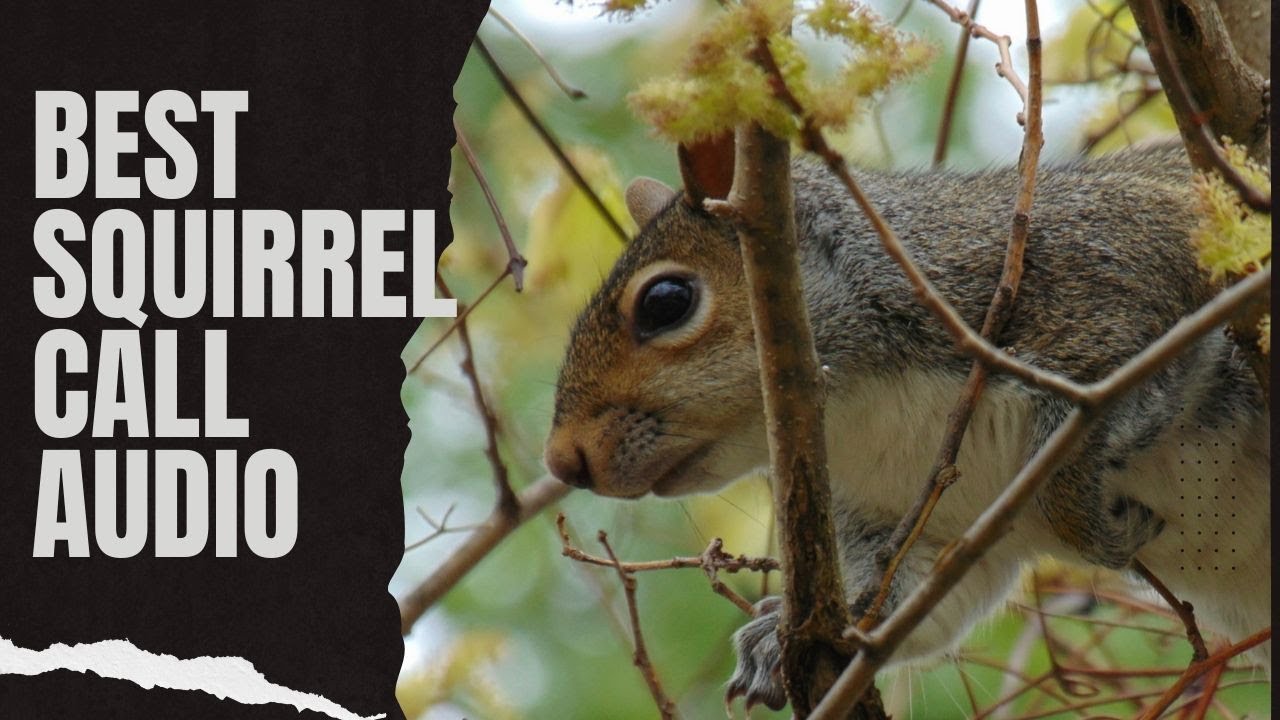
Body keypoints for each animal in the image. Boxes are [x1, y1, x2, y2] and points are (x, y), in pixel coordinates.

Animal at [543, 140, 1271, 710]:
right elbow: (906, 606)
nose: (563, 461)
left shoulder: (1130, 270)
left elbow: (1084, 455)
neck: (867, 411)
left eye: (666, 301)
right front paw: (775, 638)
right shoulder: (927, 522)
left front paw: (1102, 530)